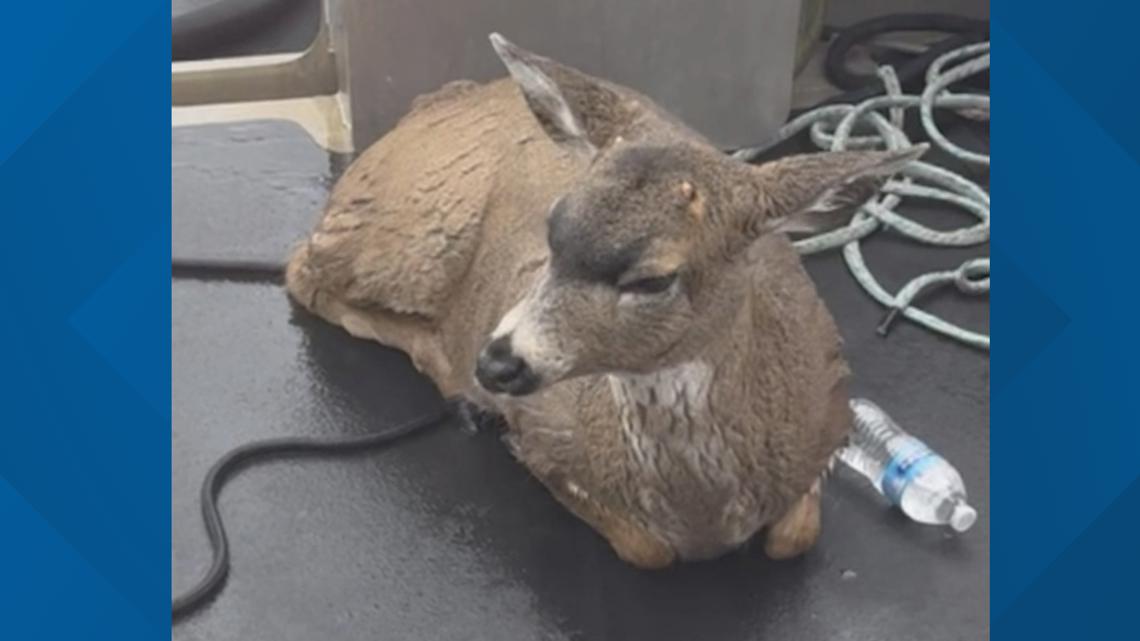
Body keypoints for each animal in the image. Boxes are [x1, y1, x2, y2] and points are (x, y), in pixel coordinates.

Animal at [285, 33, 925, 568]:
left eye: (652, 280)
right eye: (552, 227)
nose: (497, 362)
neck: (703, 514)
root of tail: (434, 102)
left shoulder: (830, 413)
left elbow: (795, 537)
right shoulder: (547, 440)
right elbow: (647, 551)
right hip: (400, 235)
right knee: (303, 269)